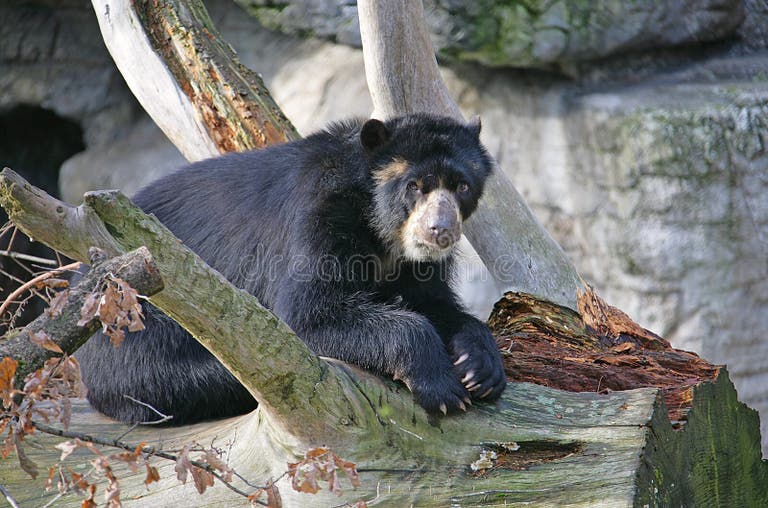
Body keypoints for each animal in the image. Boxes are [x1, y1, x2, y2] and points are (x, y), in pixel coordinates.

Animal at [76, 113, 507, 425]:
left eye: (462, 186)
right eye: (415, 185)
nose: (440, 231)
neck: (383, 233)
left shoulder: (415, 265)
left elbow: (435, 303)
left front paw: (480, 368)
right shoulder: (317, 217)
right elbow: (308, 316)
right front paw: (444, 388)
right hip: (137, 332)